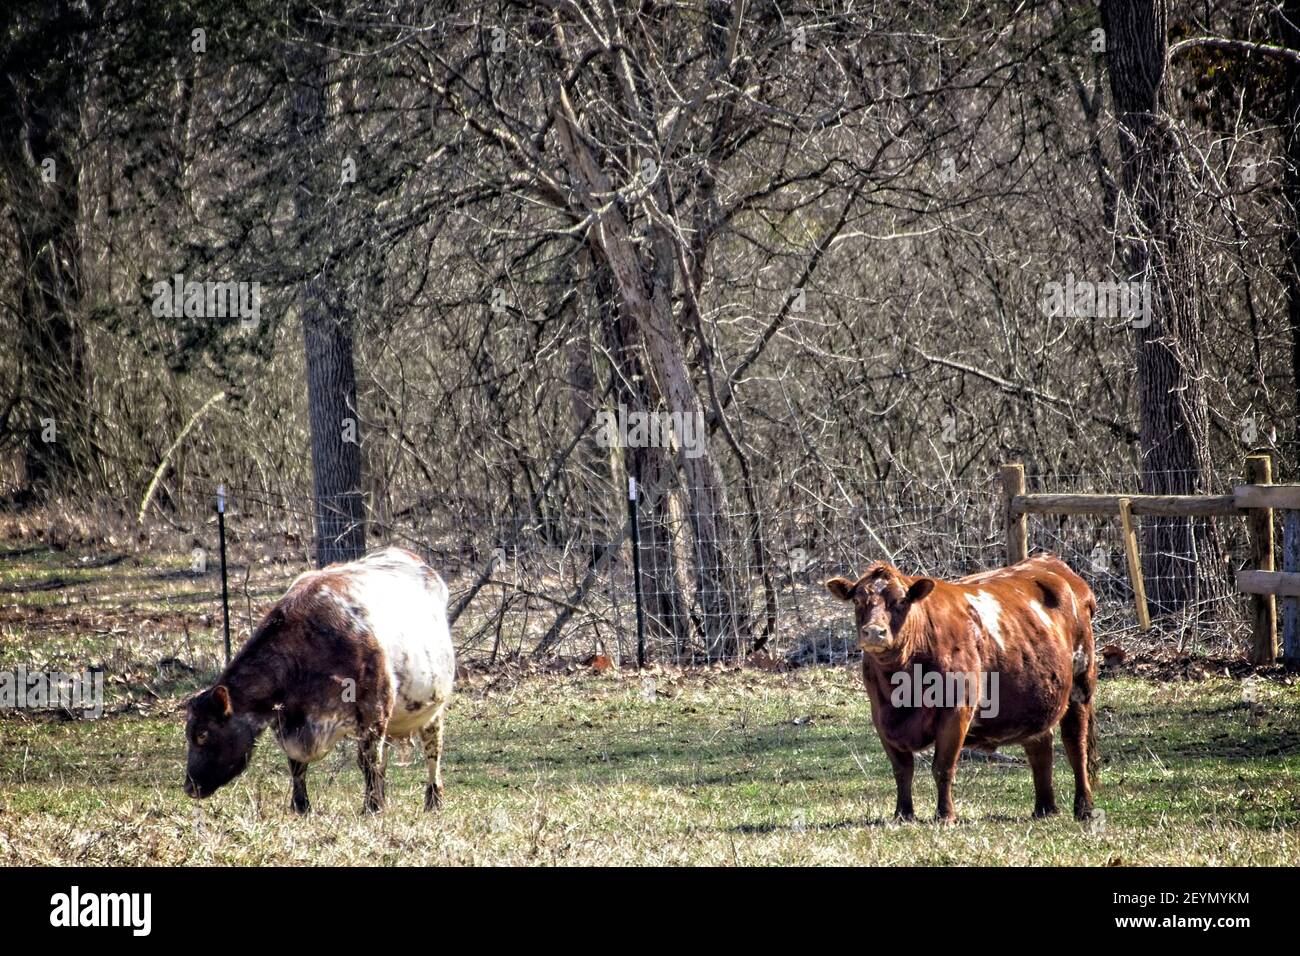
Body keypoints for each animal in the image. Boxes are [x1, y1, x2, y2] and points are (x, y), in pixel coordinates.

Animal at [183, 546, 455, 814]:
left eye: (203, 734)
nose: (189, 787)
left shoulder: (373, 711)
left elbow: (368, 761)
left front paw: (372, 807)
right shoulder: (286, 724)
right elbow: (296, 764)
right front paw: (301, 805)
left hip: (433, 709)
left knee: (433, 751)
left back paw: (433, 800)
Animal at [826, 552, 1097, 823]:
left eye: (901, 601)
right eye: (858, 600)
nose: (874, 632)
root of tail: (1048, 561)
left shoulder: (957, 710)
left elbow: (942, 767)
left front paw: (945, 815)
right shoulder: (880, 717)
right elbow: (902, 769)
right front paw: (903, 814)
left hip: (1081, 683)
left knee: (1076, 745)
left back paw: (1084, 808)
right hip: (1036, 695)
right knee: (1040, 747)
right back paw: (1044, 808)